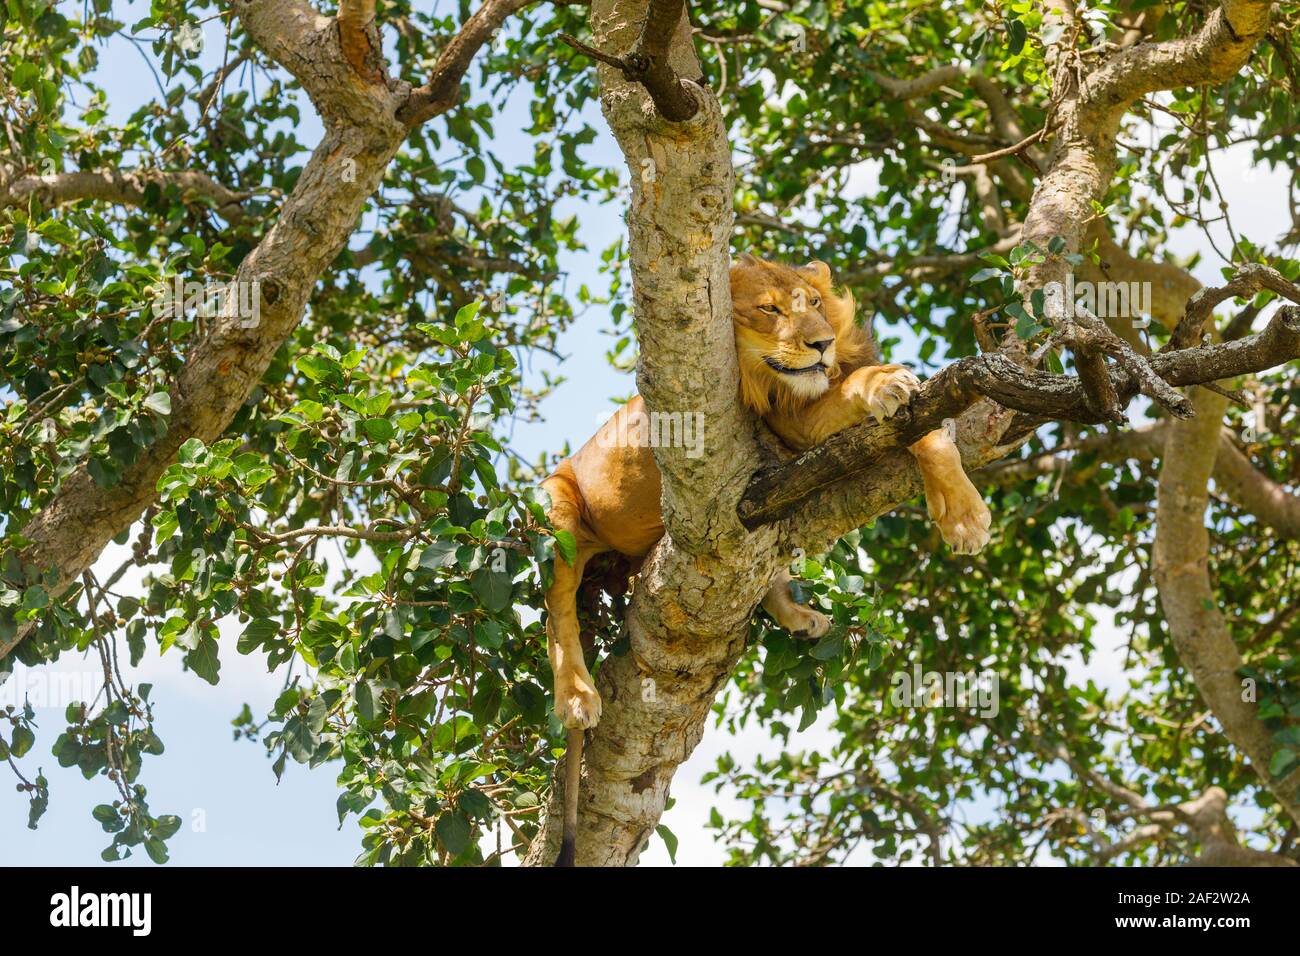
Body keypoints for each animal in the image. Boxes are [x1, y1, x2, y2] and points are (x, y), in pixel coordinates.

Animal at [540, 255, 991, 864]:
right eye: (770, 310)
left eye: (815, 304)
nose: (822, 343)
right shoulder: (791, 424)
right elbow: (862, 390)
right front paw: (887, 387)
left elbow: (928, 433)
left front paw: (961, 512)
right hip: (557, 505)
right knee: (558, 606)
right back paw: (577, 697)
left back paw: (801, 619)